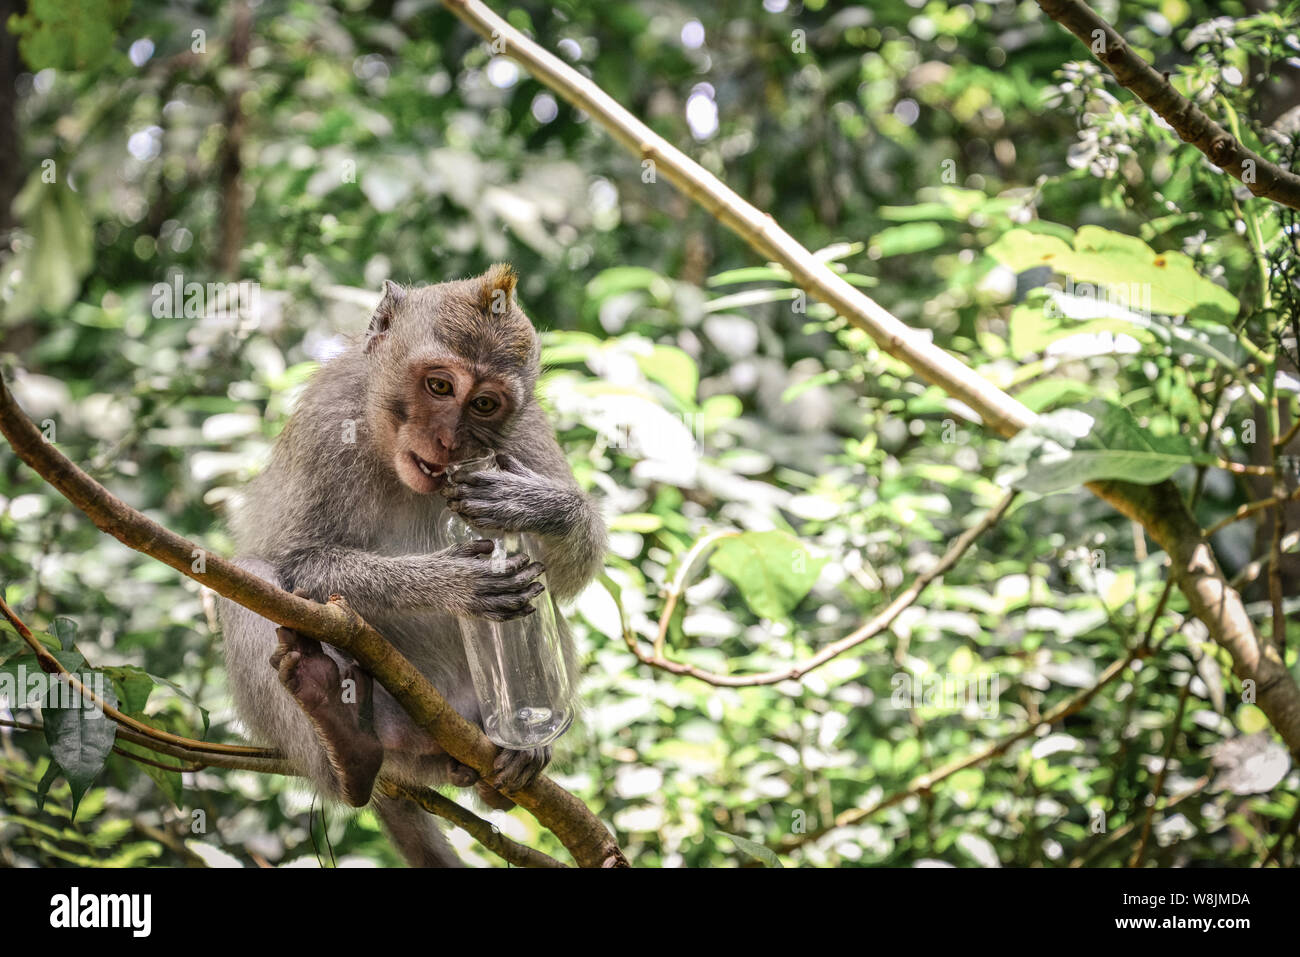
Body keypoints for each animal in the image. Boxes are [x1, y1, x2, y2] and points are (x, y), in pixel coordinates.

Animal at [216, 265, 606, 867]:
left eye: (485, 405)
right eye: (439, 386)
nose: (448, 441)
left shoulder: (524, 435)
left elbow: (564, 579)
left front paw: (536, 503)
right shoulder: (329, 419)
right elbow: (299, 561)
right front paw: (456, 583)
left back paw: (515, 761)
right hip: (395, 737)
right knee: (254, 578)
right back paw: (345, 743)